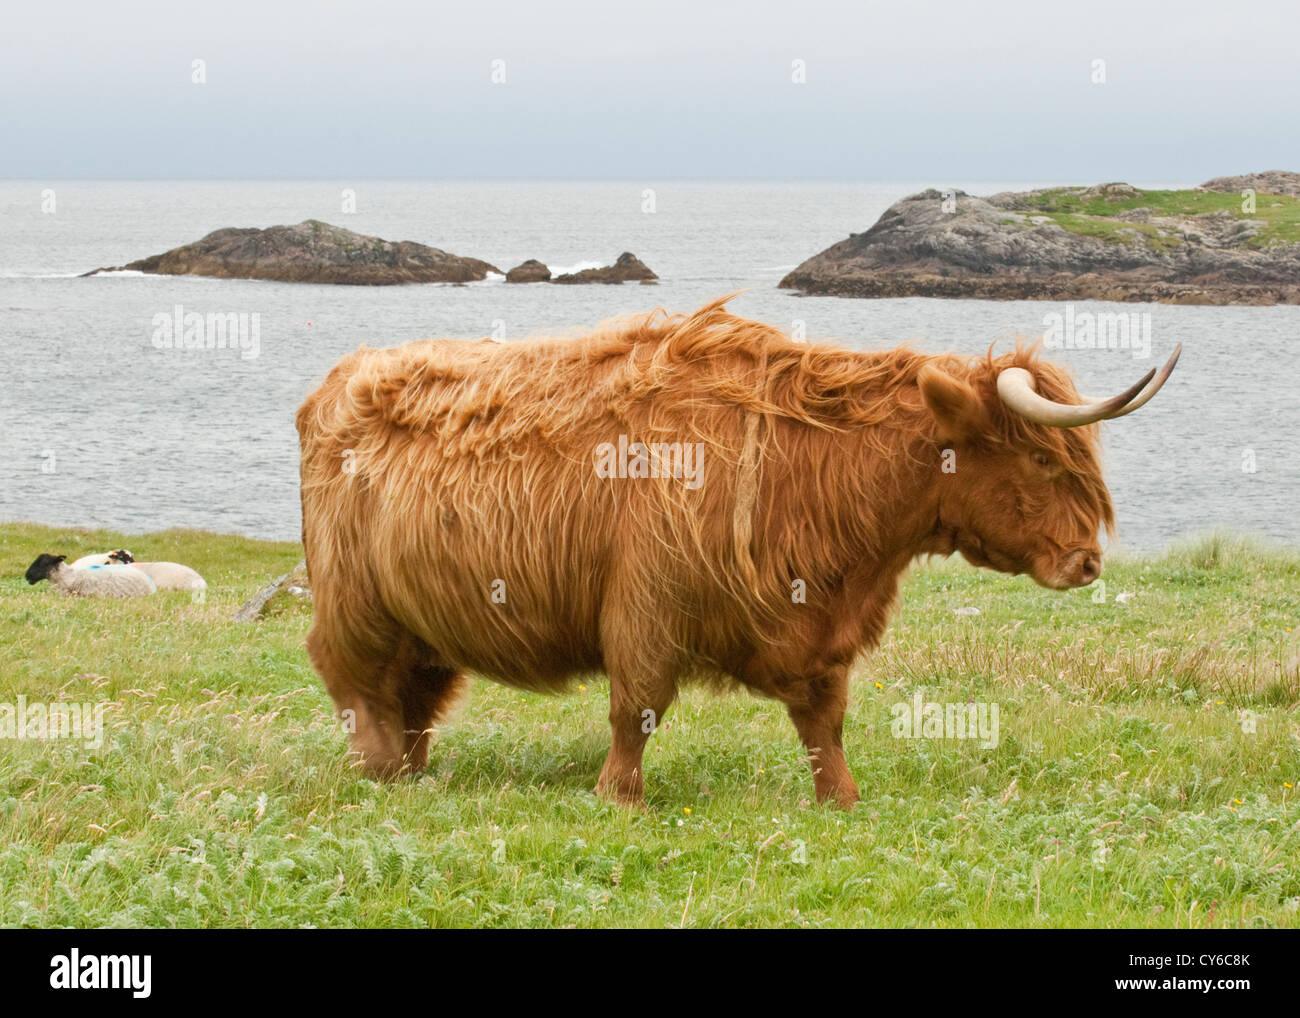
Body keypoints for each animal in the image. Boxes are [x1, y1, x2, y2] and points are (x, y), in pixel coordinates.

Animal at [295, 295, 1178, 808]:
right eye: (1041, 459)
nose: (1087, 562)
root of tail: (337, 380)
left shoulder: (820, 631)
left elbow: (826, 720)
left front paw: (840, 798)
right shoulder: (647, 605)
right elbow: (635, 709)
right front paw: (618, 798)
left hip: (422, 620)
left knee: (415, 689)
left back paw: (413, 767)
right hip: (353, 597)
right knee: (351, 675)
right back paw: (380, 769)